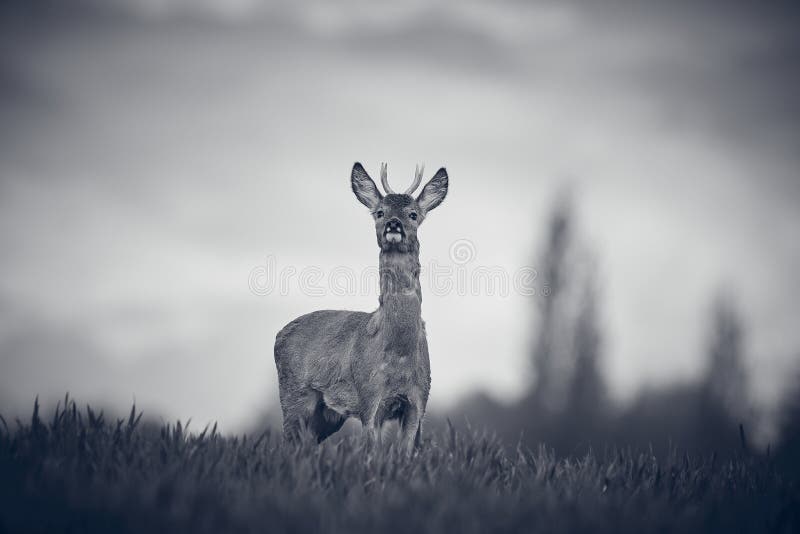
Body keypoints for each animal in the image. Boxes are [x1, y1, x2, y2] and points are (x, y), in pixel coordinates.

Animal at [273, 162, 448, 453]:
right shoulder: (370, 399)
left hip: (327, 414)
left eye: (413, 214)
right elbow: (372, 454)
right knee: (287, 443)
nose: (393, 223)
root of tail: (278, 333)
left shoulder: (418, 401)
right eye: (380, 212)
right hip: (294, 393)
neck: (399, 355)